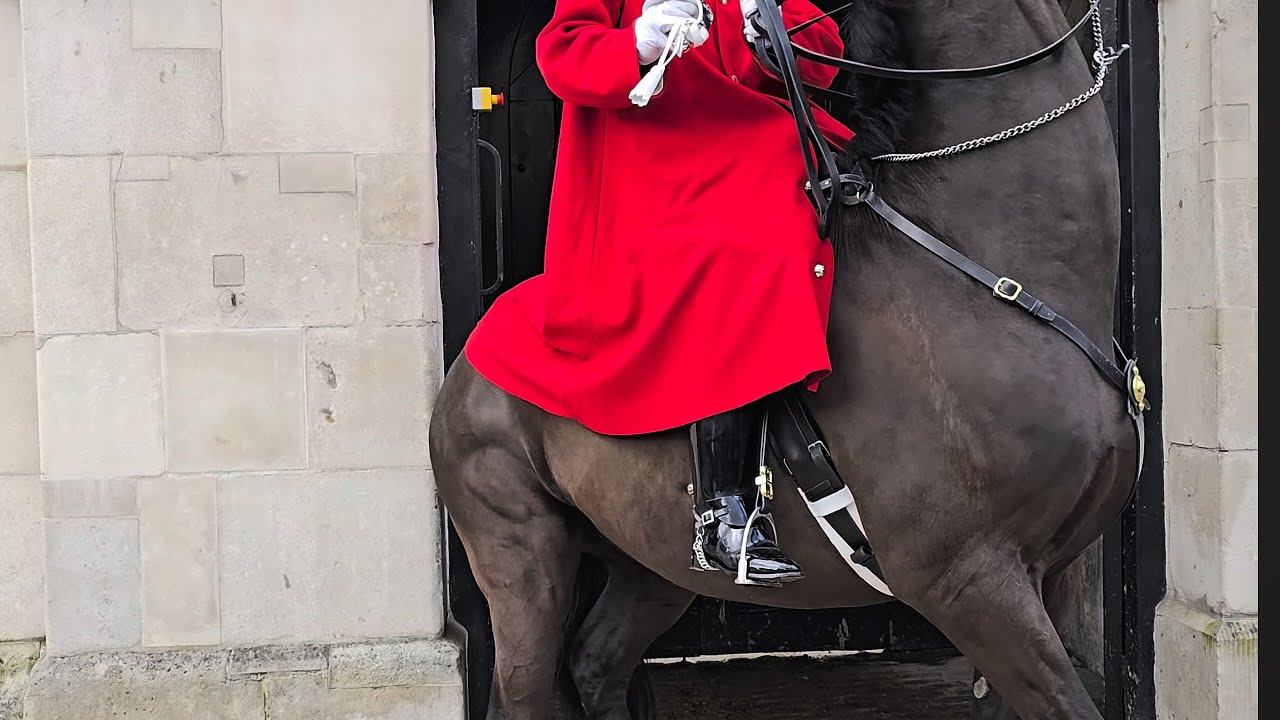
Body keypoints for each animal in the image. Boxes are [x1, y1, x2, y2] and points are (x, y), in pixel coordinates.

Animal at [429, 0, 1139, 717]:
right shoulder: (973, 582)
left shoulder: (1049, 576)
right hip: (523, 565)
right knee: (526, 686)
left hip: (647, 567)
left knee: (596, 662)